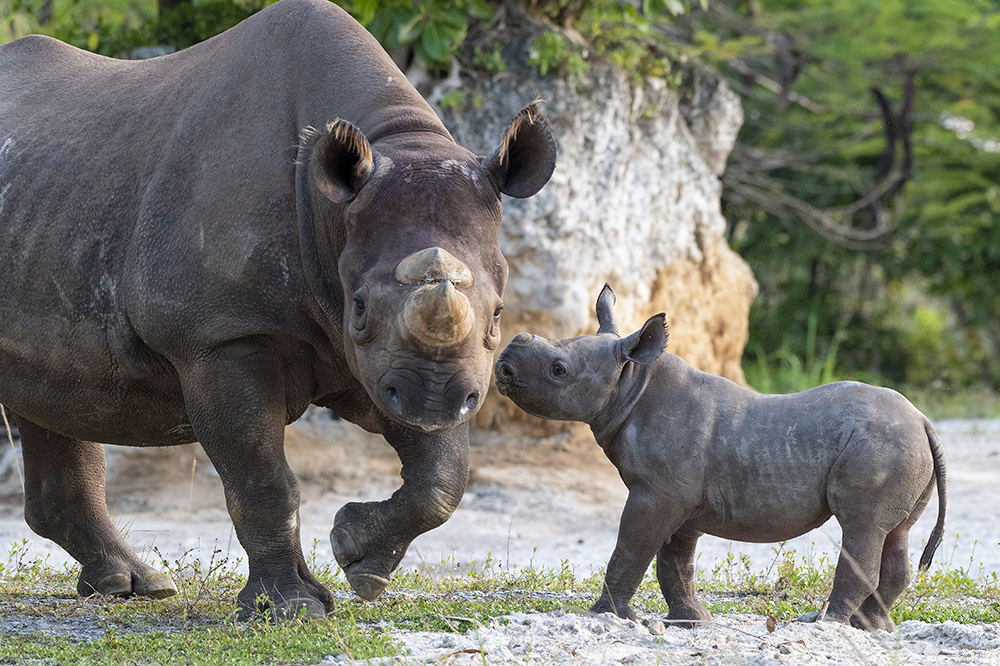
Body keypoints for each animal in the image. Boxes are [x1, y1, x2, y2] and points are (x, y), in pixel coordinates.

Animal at [0, 0, 556, 619]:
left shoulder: (383, 361)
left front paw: (357, 557)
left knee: (52, 397)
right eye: (360, 308)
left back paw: (133, 587)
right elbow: (262, 479)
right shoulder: (221, 335)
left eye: (499, 315)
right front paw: (289, 608)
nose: (431, 402)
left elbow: (443, 474)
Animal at [494, 285, 946, 631]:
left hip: (881, 445)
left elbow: (631, 549)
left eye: (559, 370)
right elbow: (674, 562)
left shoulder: (657, 493)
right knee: (895, 533)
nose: (503, 365)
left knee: (862, 527)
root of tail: (924, 419)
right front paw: (690, 621)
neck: (631, 382)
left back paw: (824, 624)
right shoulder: (677, 498)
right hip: (903, 448)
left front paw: (608, 617)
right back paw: (870, 627)